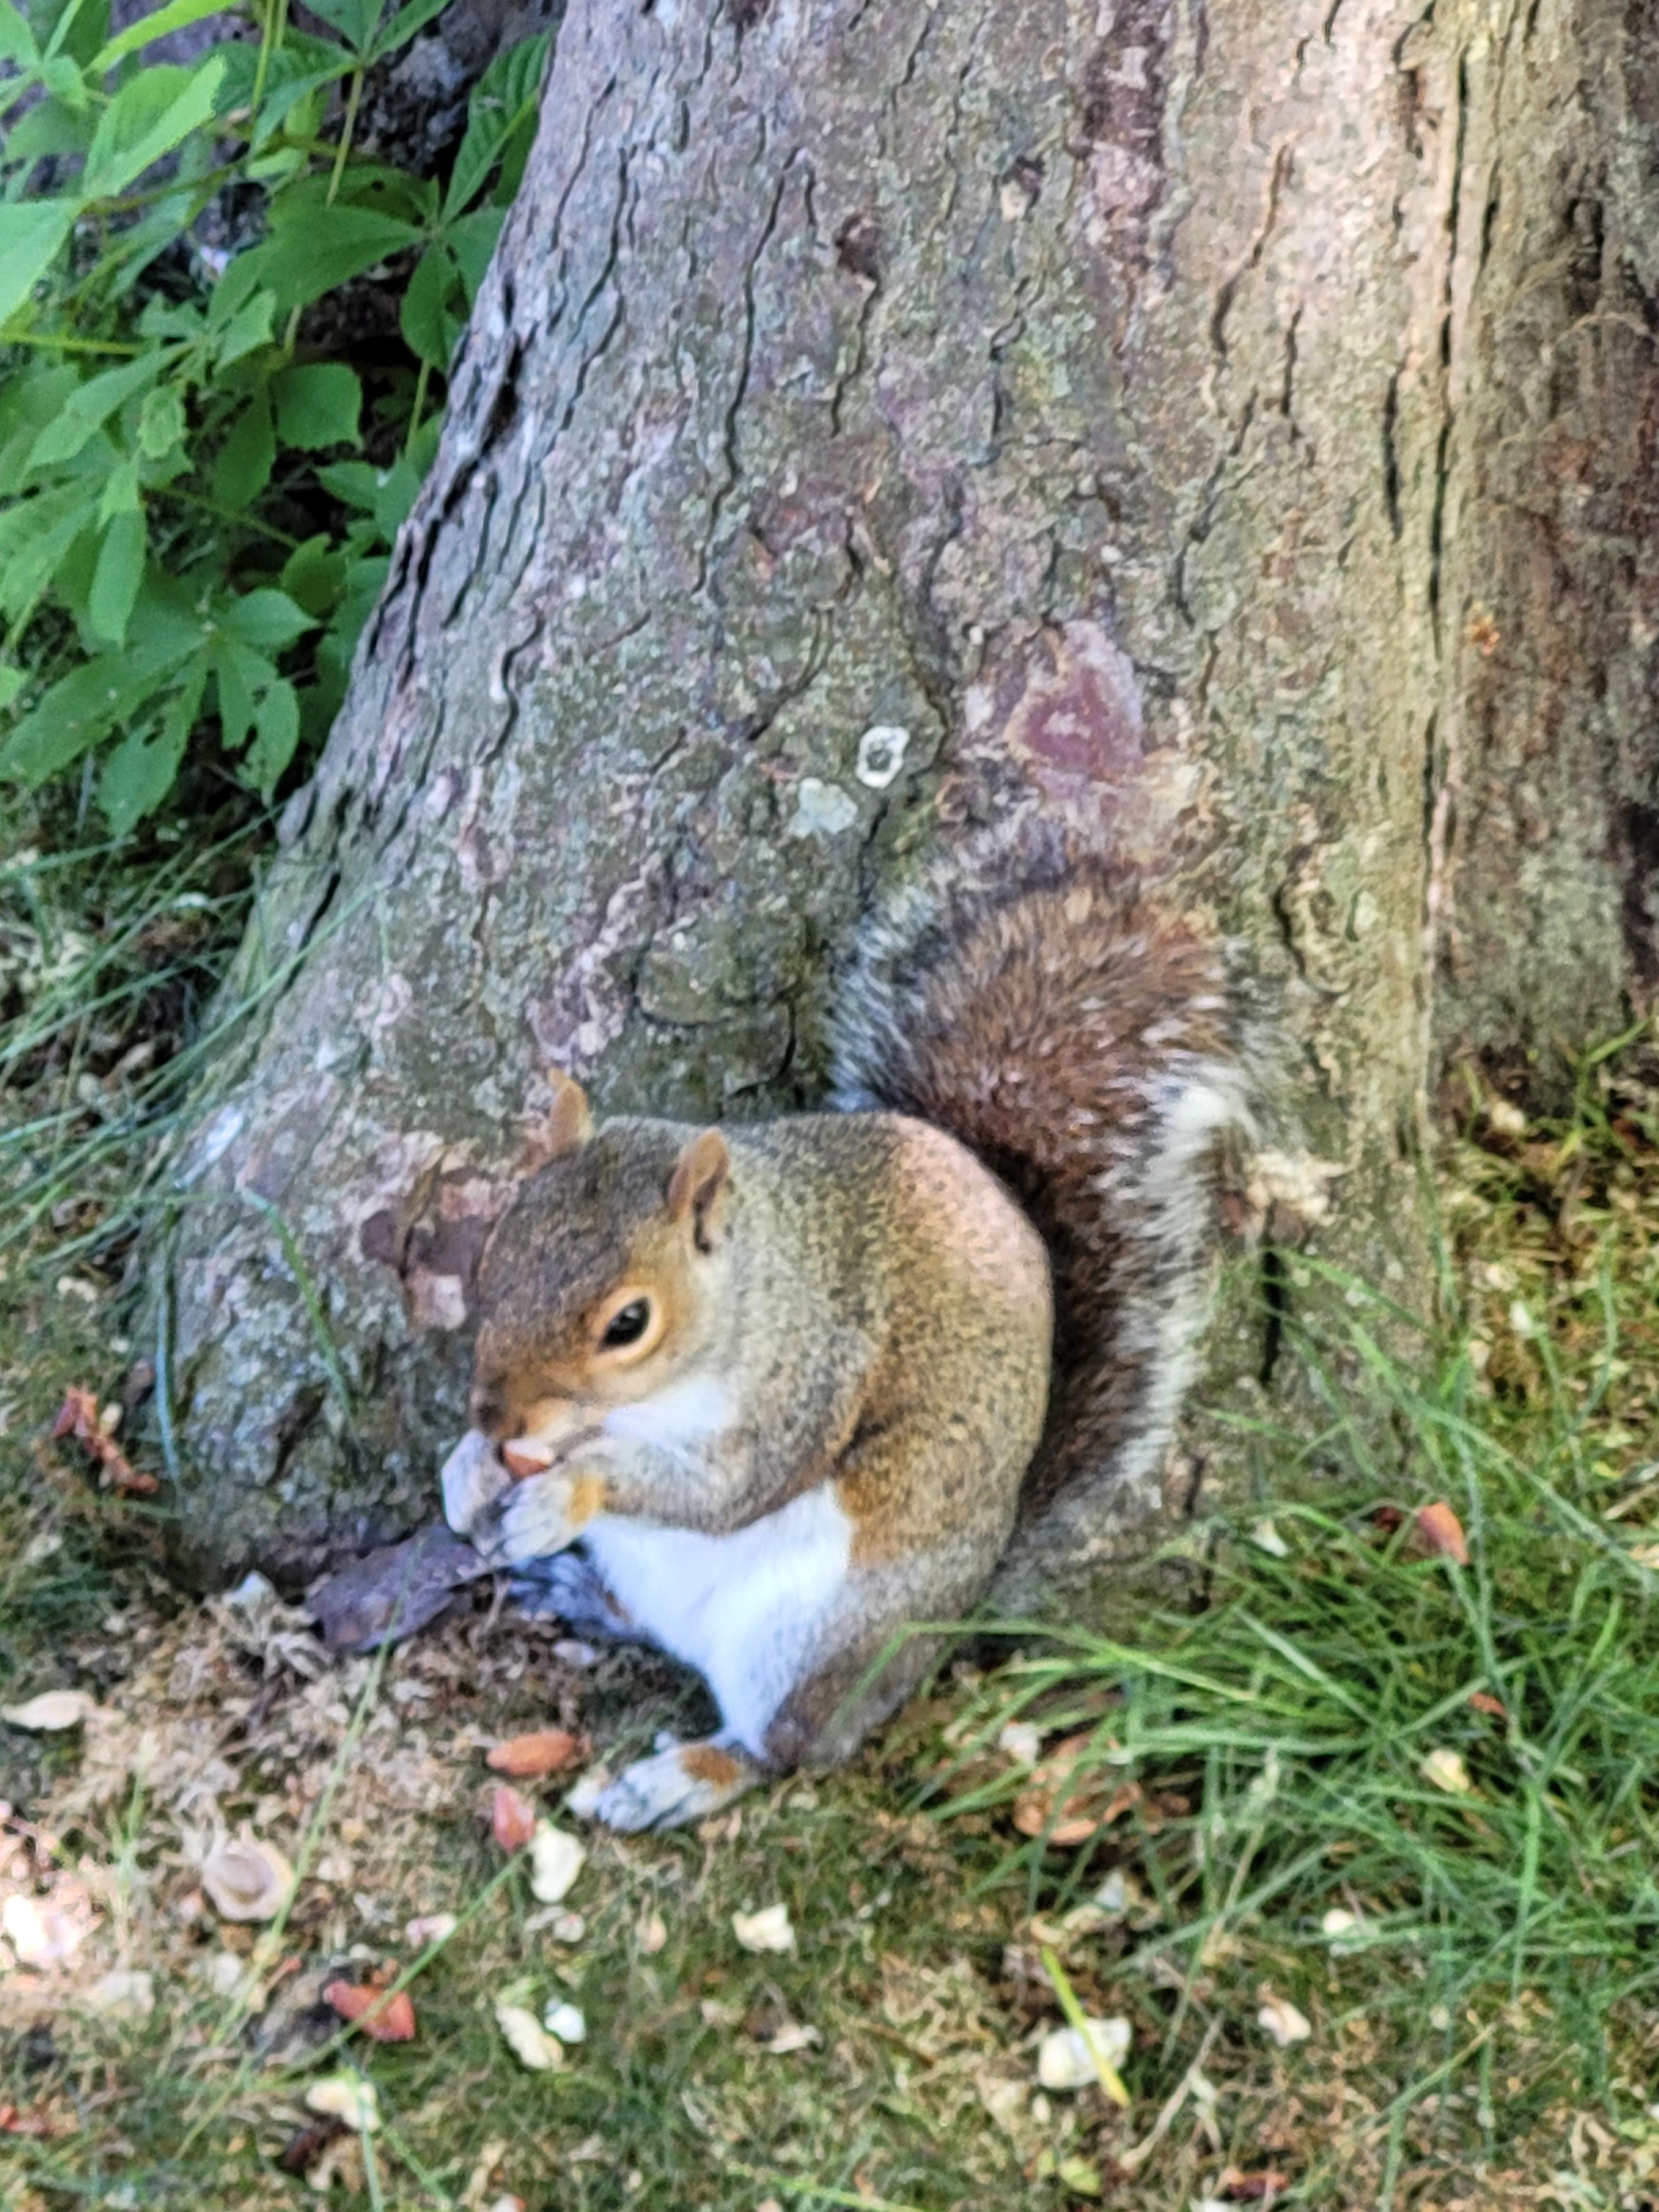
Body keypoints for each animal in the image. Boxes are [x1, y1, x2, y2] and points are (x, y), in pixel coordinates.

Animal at [439, 833, 1252, 1832]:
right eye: (495, 1248)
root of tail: (949, 1619)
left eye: (628, 1323)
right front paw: (465, 1469)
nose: (498, 1420)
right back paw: (580, 1593)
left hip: (811, 1639)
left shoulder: (807, 1382)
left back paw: (683, 1776)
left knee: (785, 1747)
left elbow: (726, 1492)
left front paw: (564, 1493)